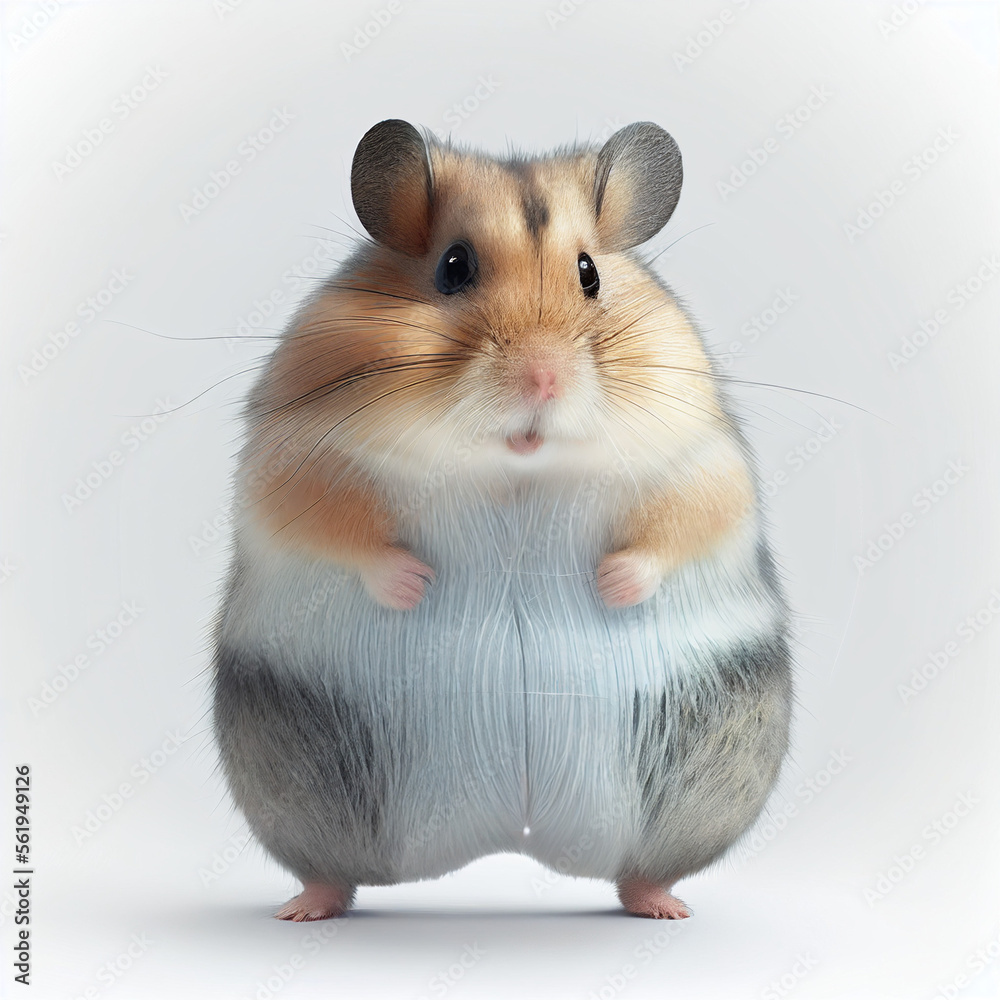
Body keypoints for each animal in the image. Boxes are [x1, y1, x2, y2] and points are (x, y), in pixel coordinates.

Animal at [211, 119, 792, 921]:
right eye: (454, 266)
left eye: (589, 273)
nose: (542, 379)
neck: (514, 469)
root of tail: (514, 829)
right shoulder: (297, 458)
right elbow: (336, 526)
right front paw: (415, 583)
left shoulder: (701, 459)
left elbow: (681, 524)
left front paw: (610, 584)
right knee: (332, 872)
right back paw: (301, 909)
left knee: (643, 871)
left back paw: (665, 906)